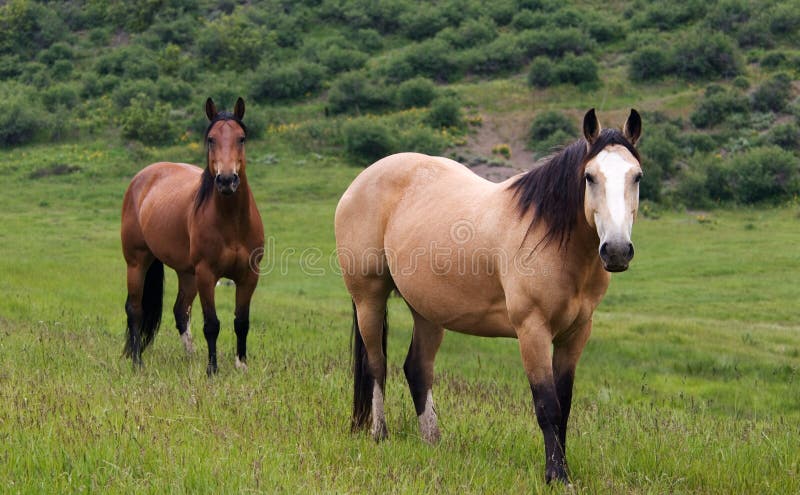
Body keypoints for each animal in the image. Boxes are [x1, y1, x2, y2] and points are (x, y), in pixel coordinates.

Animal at [120, 97, 264, 375]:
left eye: (241, 138)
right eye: (211, 139)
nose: (227, 180)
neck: (232, 222)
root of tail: (143, 177)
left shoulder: (249, 275)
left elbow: (242, 321)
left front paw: (241, 366)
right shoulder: (207, 274)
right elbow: (212, 324)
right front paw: (212, 370)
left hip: (187, 273)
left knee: (180, 311)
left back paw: (190, 357)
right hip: (137, 263)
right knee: (134, 309)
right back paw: (137, 362)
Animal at [335, 109, 642, 483]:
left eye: (637, 177)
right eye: (590, 177)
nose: (616, 251)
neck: (550, 237)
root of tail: (361, 180)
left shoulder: (576, 333)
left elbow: (565, 406)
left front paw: (563, 470)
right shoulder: (533, 331)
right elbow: (548, 406)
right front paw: (556, 476)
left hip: (427, 311)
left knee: (417, 368)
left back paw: (433, 441)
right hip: (369, 297)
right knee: (376, 364)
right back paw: (380, 433)